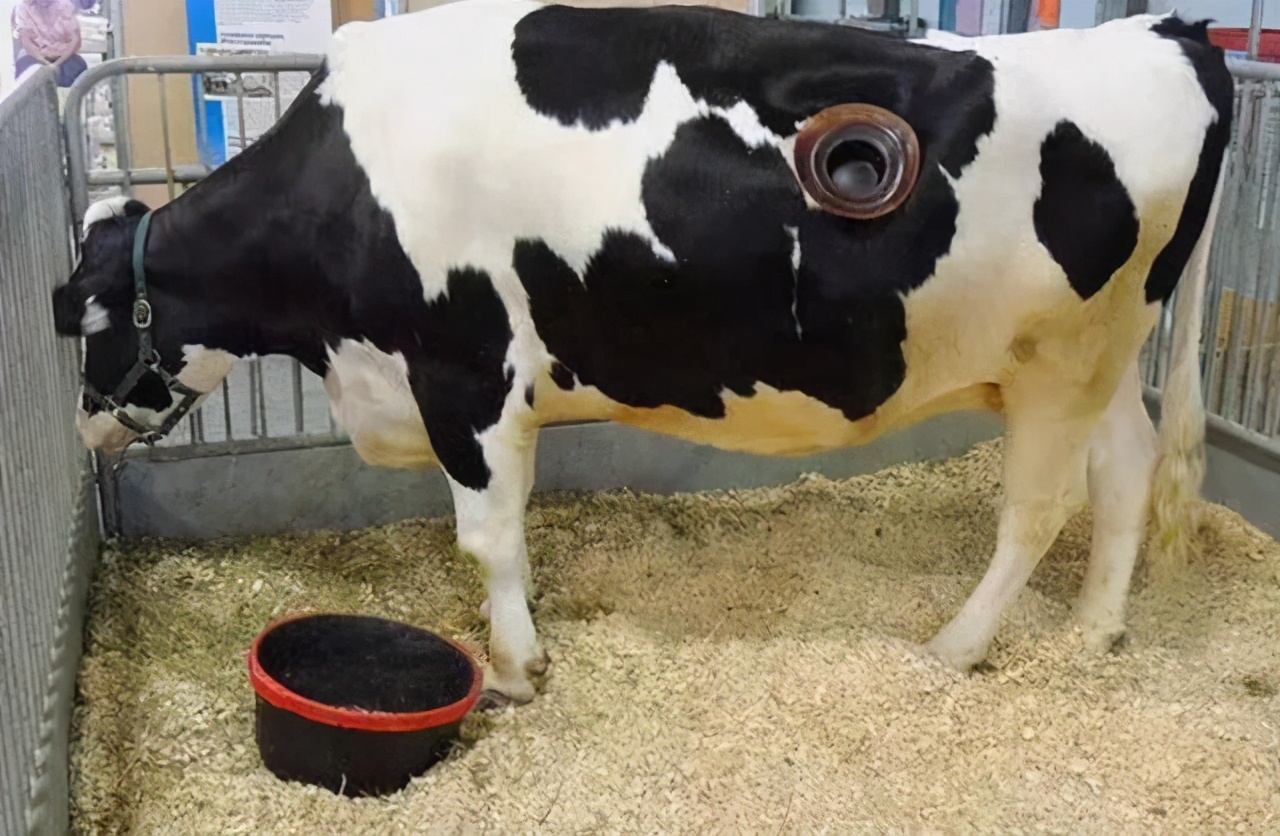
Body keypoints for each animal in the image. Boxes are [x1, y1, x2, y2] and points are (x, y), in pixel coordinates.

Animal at [50, 1, 1232, 706]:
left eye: (87, 322)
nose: (84, 427)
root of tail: (1167, 33)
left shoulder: (464, 374)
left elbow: (487, 538)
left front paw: (517, 671)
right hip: (1099, 360)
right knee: (1124, 473)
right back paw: (1090, 632)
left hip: (1062, 359)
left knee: (1039, 508)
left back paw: (957, 644)